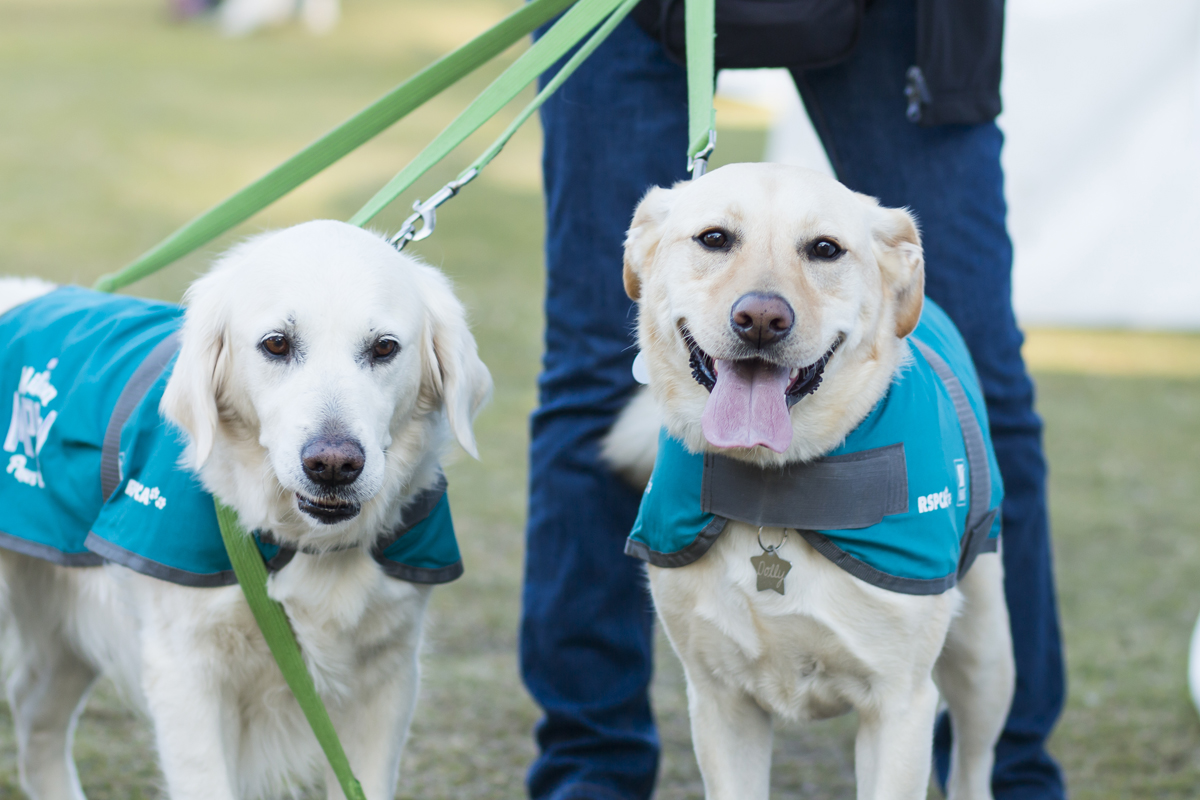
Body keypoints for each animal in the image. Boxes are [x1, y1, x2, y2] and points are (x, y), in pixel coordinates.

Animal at [0, 220, 492, 800]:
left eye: (385, 347)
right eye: (276, 344)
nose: (332, 465)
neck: (299, 540)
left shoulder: (387, 676)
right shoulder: (185, 673)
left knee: (35, 708)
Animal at [609, 164, 1012, 800]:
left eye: (825, 249)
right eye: (714, 239)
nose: (761, 320)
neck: (776, 490)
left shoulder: (900, 709)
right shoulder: (720, 703)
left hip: (984, 656)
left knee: (973, 764)